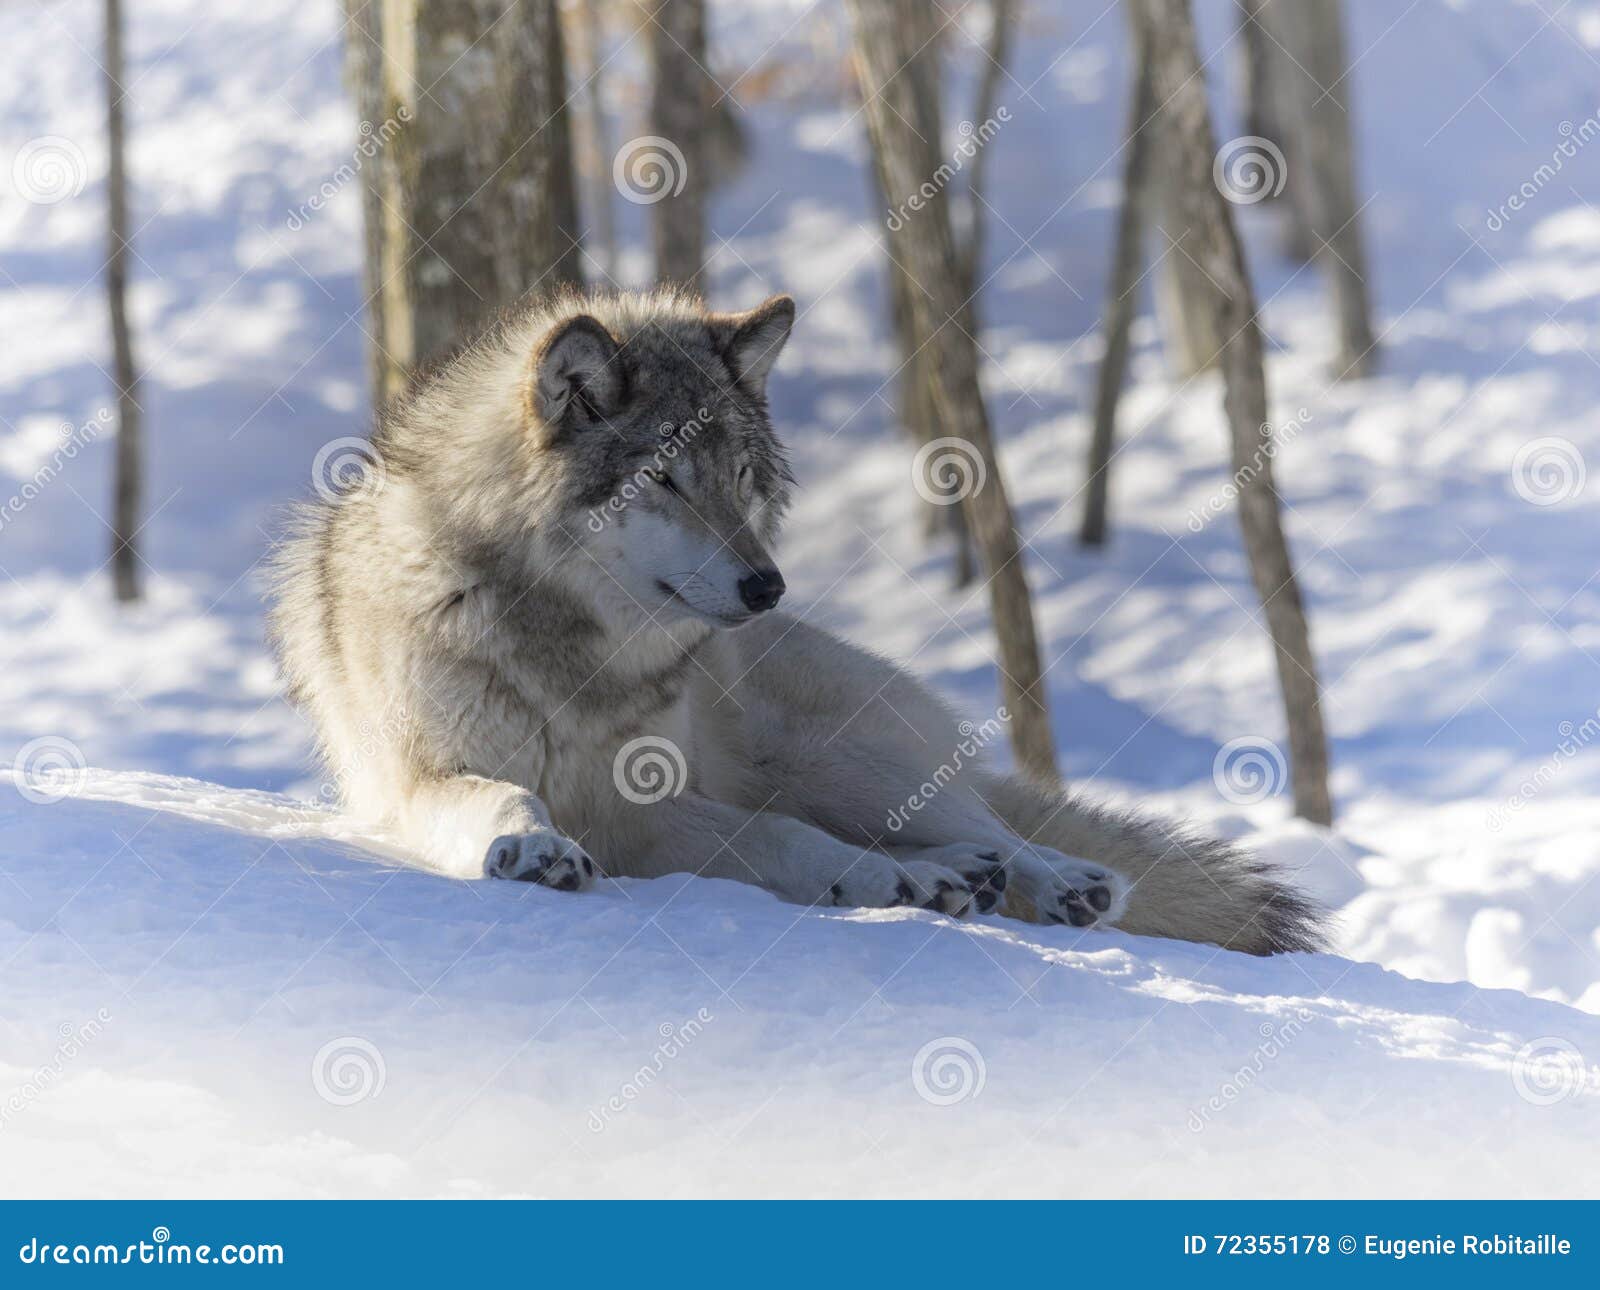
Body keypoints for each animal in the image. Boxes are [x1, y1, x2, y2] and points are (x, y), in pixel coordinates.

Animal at [268, 289, 1323, 955]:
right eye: (665, 480)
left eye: (741, 479)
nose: (767, 586)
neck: (567, 650)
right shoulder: (422, 780)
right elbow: (504, 797)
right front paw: (531, 848)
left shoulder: (640, 809)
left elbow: (777, 838)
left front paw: (882, 884)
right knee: (959, 839)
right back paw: (959, 878)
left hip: (838, 758)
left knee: (990, 826)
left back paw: (1049, 882)